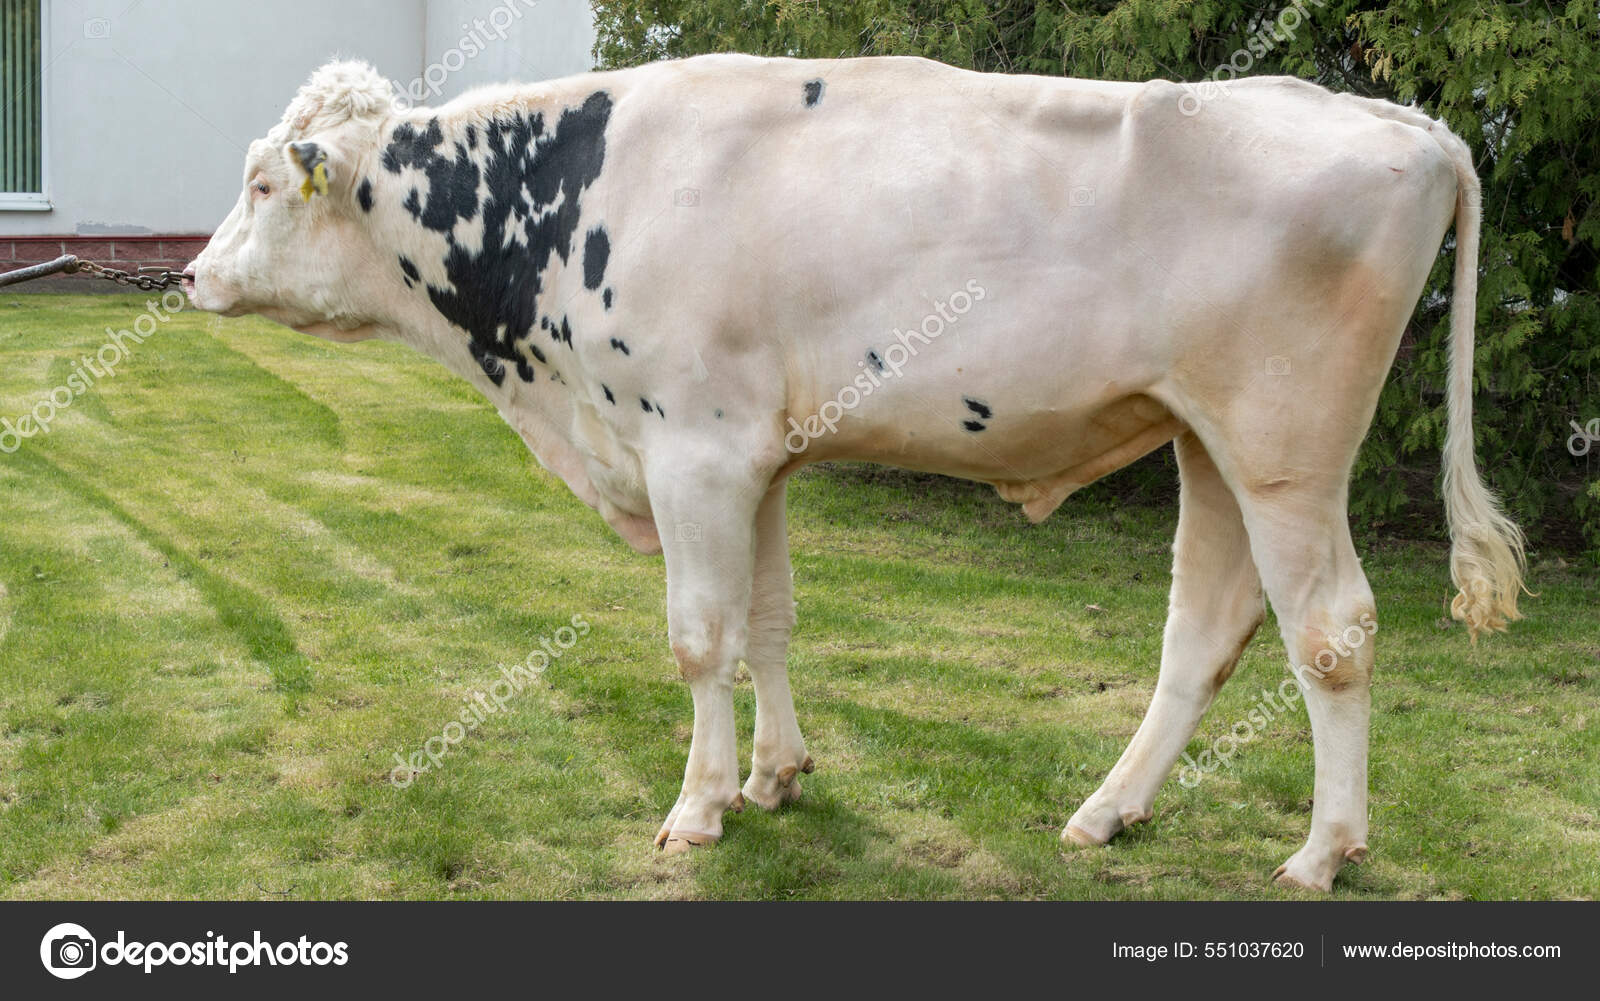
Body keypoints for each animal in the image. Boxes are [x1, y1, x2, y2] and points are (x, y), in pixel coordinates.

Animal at [185, 54, 1526, 891]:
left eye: (259, 183)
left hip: (1287, 453)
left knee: (1333, 632)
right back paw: (1107, 811)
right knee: (1204, 630)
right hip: (1206, 441)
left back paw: (1322, 850)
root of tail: (1400, 120)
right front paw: (776, 775)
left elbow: (700, 636)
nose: (190, 276)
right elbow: (770, 619)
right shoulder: (759, 454)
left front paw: (697, 806)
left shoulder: (693, 447)